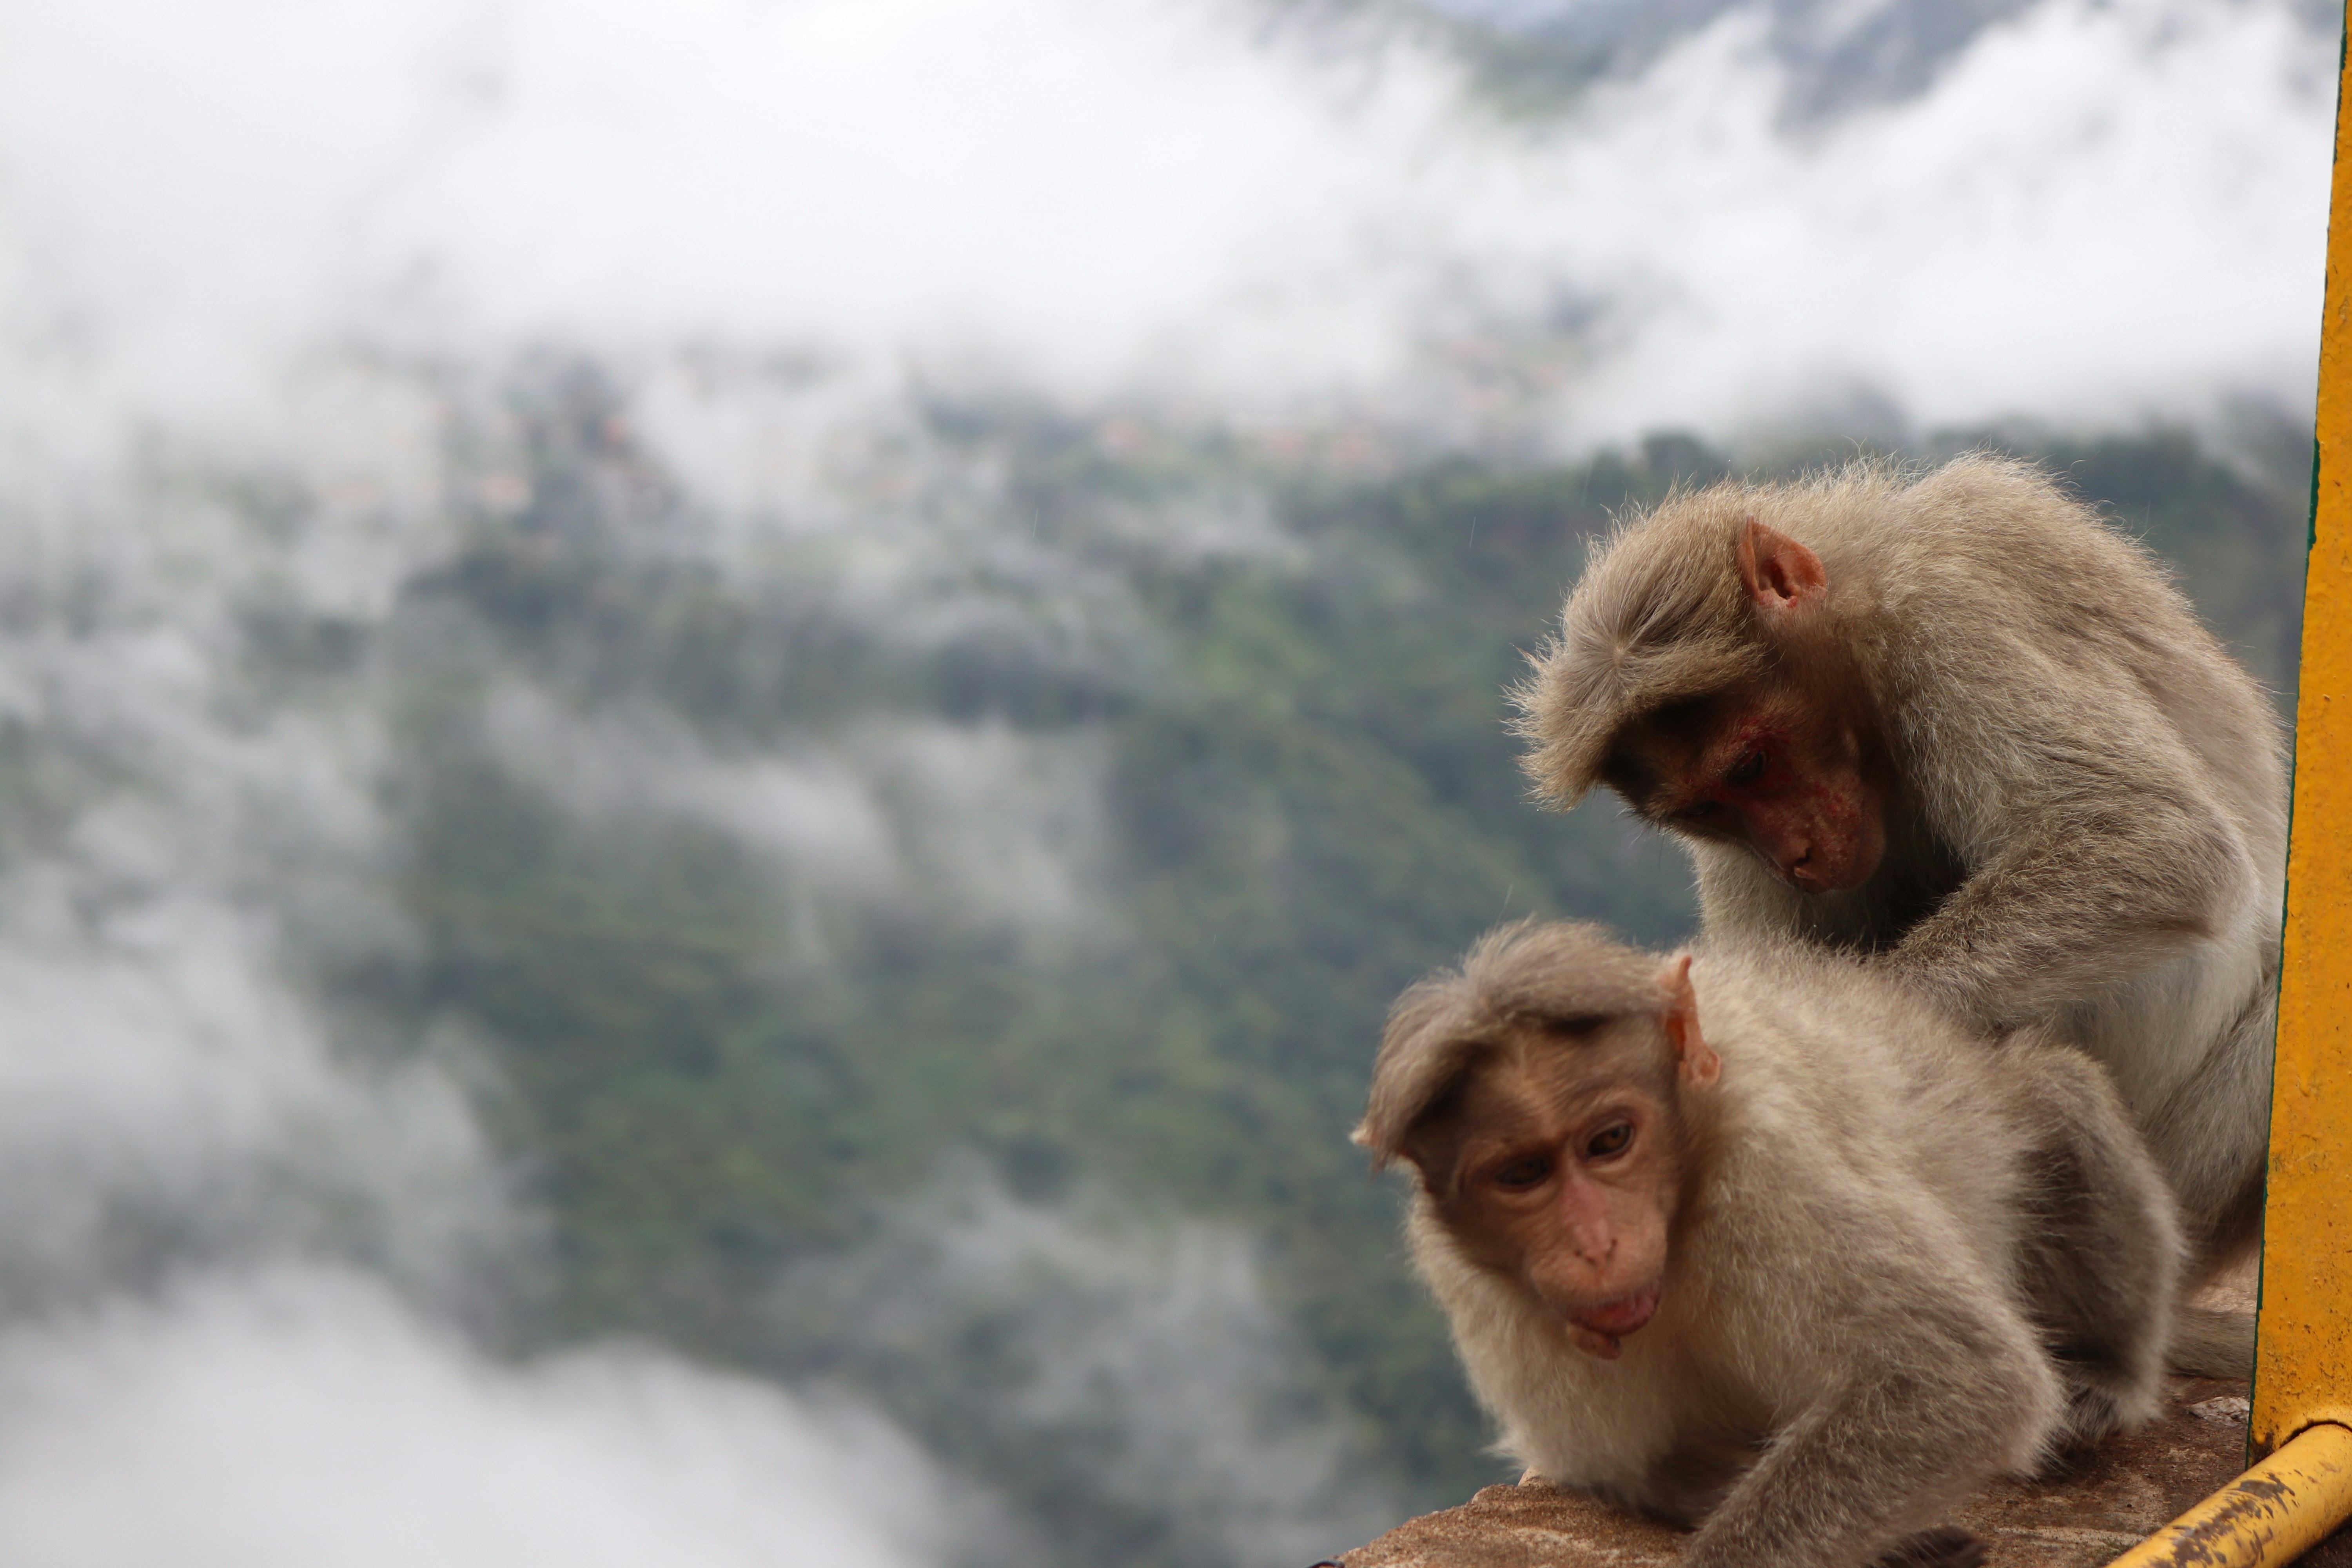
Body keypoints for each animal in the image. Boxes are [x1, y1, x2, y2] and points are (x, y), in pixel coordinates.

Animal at [1357, 919, 2183, 1568]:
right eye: (1522, 1173)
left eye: (1610, 1141)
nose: (1595, 1244)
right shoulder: (1487, 1302)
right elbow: (1638, 1468)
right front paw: (1900, 1546)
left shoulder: (1776, 1178)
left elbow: (1959, 1377)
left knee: (2056, 1099)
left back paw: (2107, 1372)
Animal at [1511, 455, 2283, 1293]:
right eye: (1707, 810)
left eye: (1751, 766)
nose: (1795, 857)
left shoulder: (1949, 614)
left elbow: (2151, 839)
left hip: (2184, 1169)